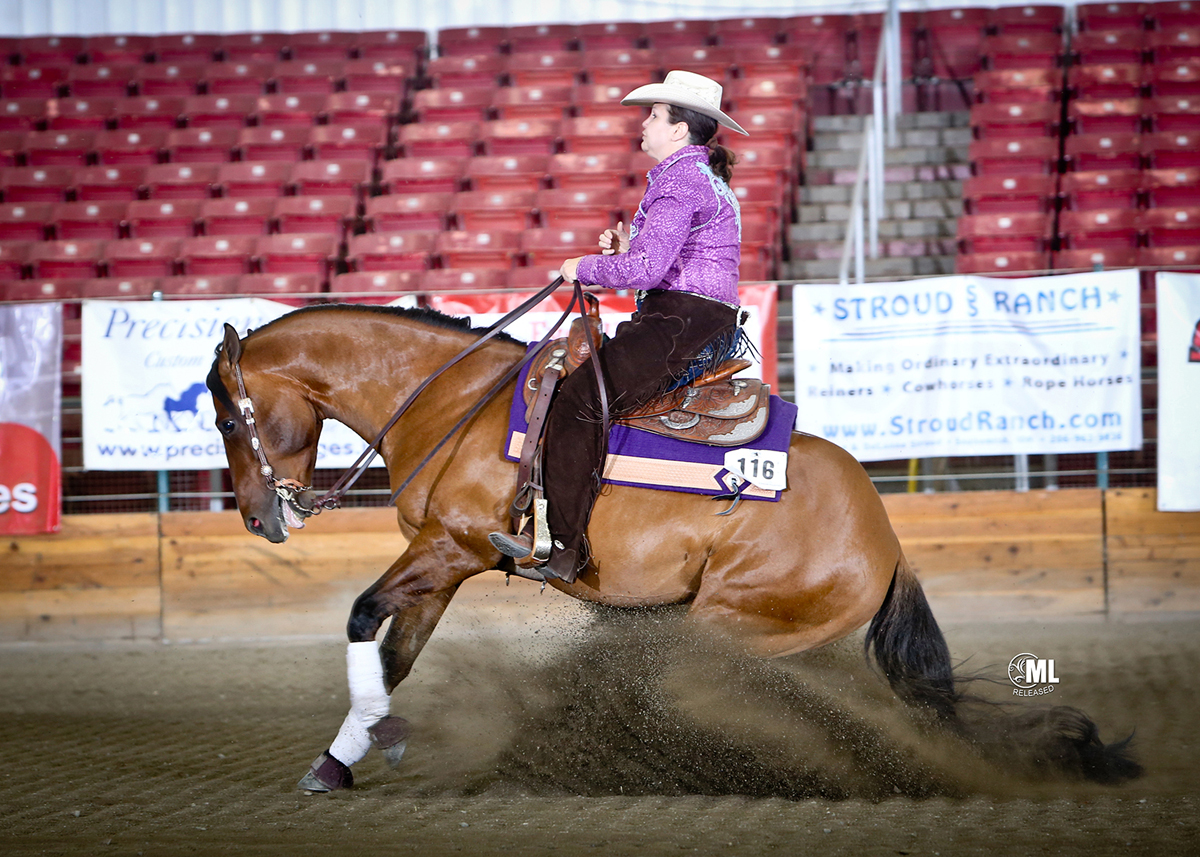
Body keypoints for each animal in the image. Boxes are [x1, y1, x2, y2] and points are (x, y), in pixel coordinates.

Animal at [206, 302, 1141, 793]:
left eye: (223, 417)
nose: (257, 519)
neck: (460, 403)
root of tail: (885, 538)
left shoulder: (451, 547)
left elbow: (362, 614)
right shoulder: (443, 560)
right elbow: (393, 651)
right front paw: (342, 757)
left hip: (725, 627)